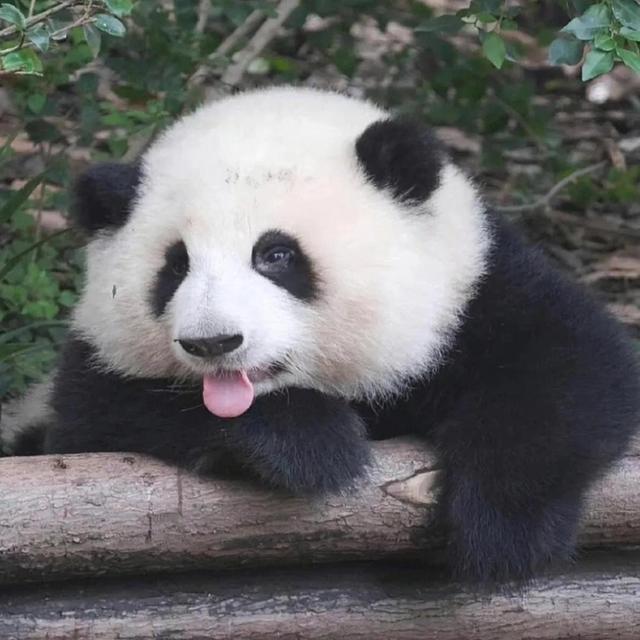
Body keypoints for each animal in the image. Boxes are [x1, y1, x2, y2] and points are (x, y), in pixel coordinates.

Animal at [2, 87, 639, 583]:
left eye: (276, 255)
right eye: (175, 266)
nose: (214, 342)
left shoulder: (476, 294)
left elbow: (569, 370)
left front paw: (503, 532)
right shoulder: (93, 371)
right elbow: (99, 419)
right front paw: (309, 442)